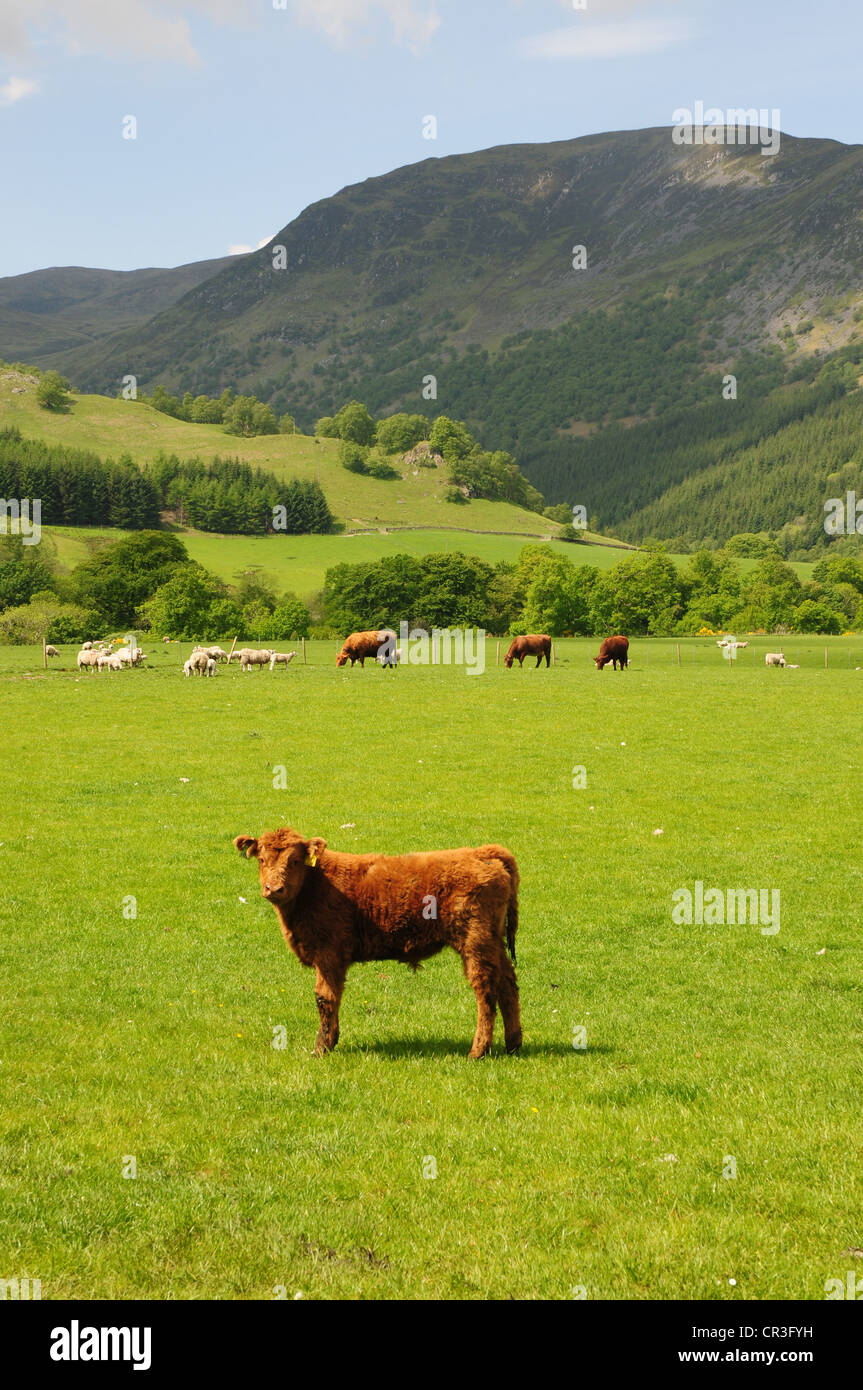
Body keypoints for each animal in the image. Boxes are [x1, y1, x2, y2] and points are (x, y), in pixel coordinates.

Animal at [233, 826, 522, 1059]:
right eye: (261, 859)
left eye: (294, 861)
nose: (274, 889)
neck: (313, 886)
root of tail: (481, 852)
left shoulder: (328, 953)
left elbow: (325, 998)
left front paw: (322, 1048)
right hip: (493, 941)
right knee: (508, 983)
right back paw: (513, 1044)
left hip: (475, 940)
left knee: (485, 988)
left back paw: (478, 1050)